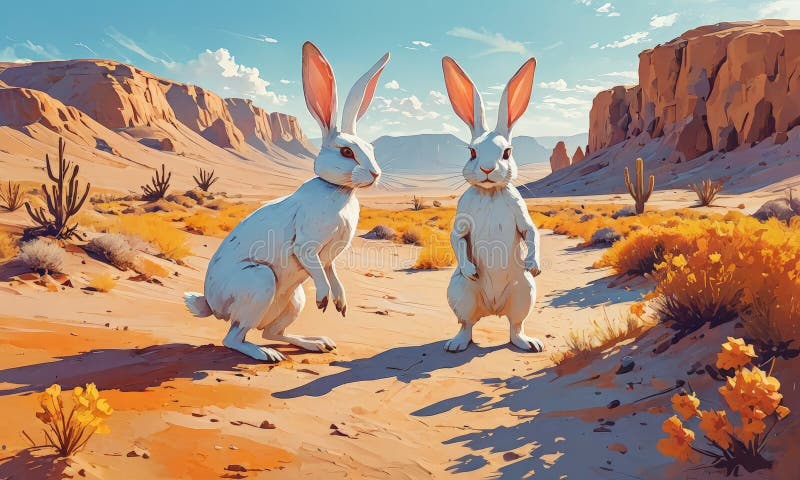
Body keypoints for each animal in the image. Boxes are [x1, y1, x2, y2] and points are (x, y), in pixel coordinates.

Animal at [183, 41, 390, 362]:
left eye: (370, 147)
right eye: (346, 152)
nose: (376, 173)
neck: (339, 190)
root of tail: (210, 304)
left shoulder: (329, 257)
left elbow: (332, 273)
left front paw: (340, 303)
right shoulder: (305, 246)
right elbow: (317, 269)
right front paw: (325, 300)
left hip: (293, 299)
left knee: (271, 332)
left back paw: (317, 343)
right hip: (260, 282)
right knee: (234, 337)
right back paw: (266, 355)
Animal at [440, 55, 544, 353]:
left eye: (507, 152)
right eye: (472, 152)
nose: (487, 169)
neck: (490, 193)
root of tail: (493, 309)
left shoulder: (521, 213)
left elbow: (532, 232)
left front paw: (534, 264)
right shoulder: (462, 219)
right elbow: (456, 237)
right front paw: (471, 269)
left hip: (524, 293)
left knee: (515, 326)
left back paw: (529, 344)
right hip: (460, 293)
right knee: (466, 325)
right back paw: (456, 344)